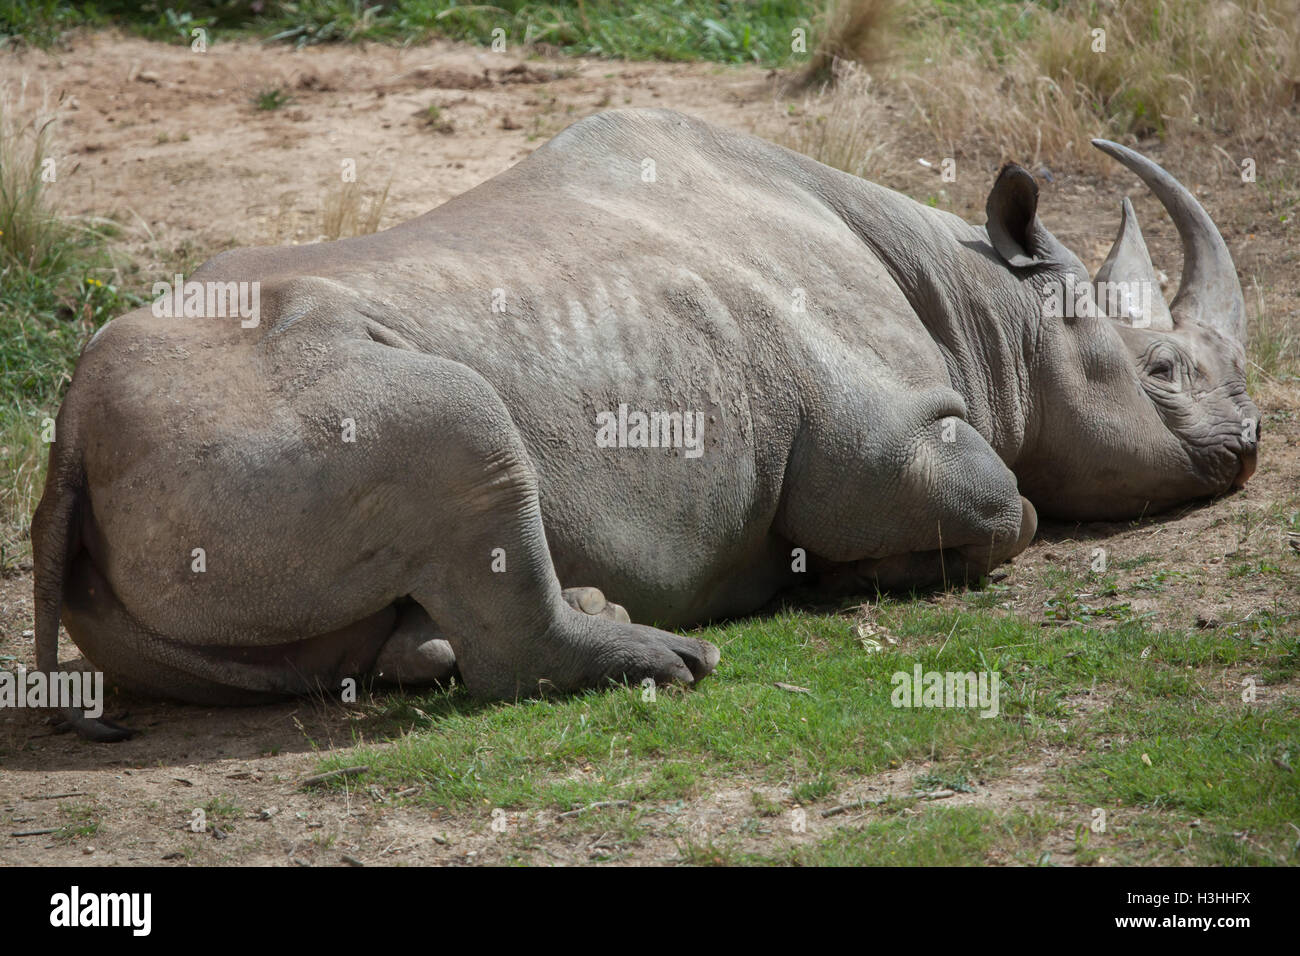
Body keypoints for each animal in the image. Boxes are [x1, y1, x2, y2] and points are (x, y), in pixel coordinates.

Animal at [31, 109, 1258, 741]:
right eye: (1161, 370)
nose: (1246, 445)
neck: (991, 303)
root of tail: (71, 433)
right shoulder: (888, 443)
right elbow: (1008, 505)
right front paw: (851, 577)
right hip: (264, 401)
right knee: (467, 423)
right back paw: (669, 656)